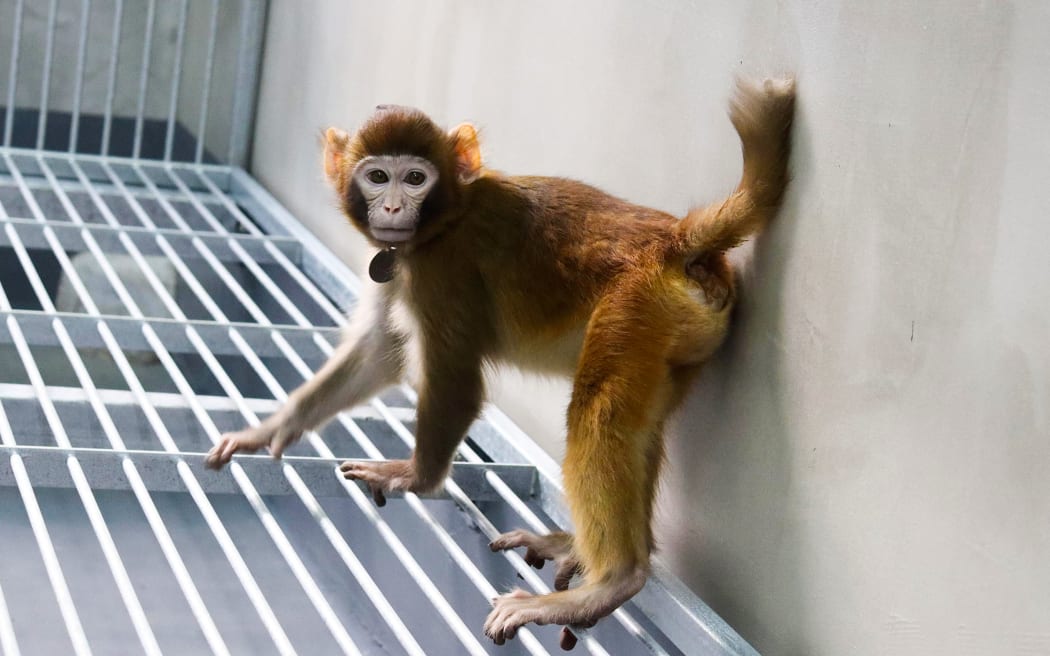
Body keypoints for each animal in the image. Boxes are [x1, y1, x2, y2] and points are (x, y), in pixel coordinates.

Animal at [205, 77, 795, 648]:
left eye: (414, 178)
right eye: (376, 176)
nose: (392, 209)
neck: (447, 218)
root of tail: (675, 241)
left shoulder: (444, 270)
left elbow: (456, 383)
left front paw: (416, 477)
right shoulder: (402, 264)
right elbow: (378, 351)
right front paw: (270, 429)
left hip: (635, 305)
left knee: (599, 414)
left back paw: (611, 581)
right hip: (675, 336)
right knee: (636, 427)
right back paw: (587, 549)